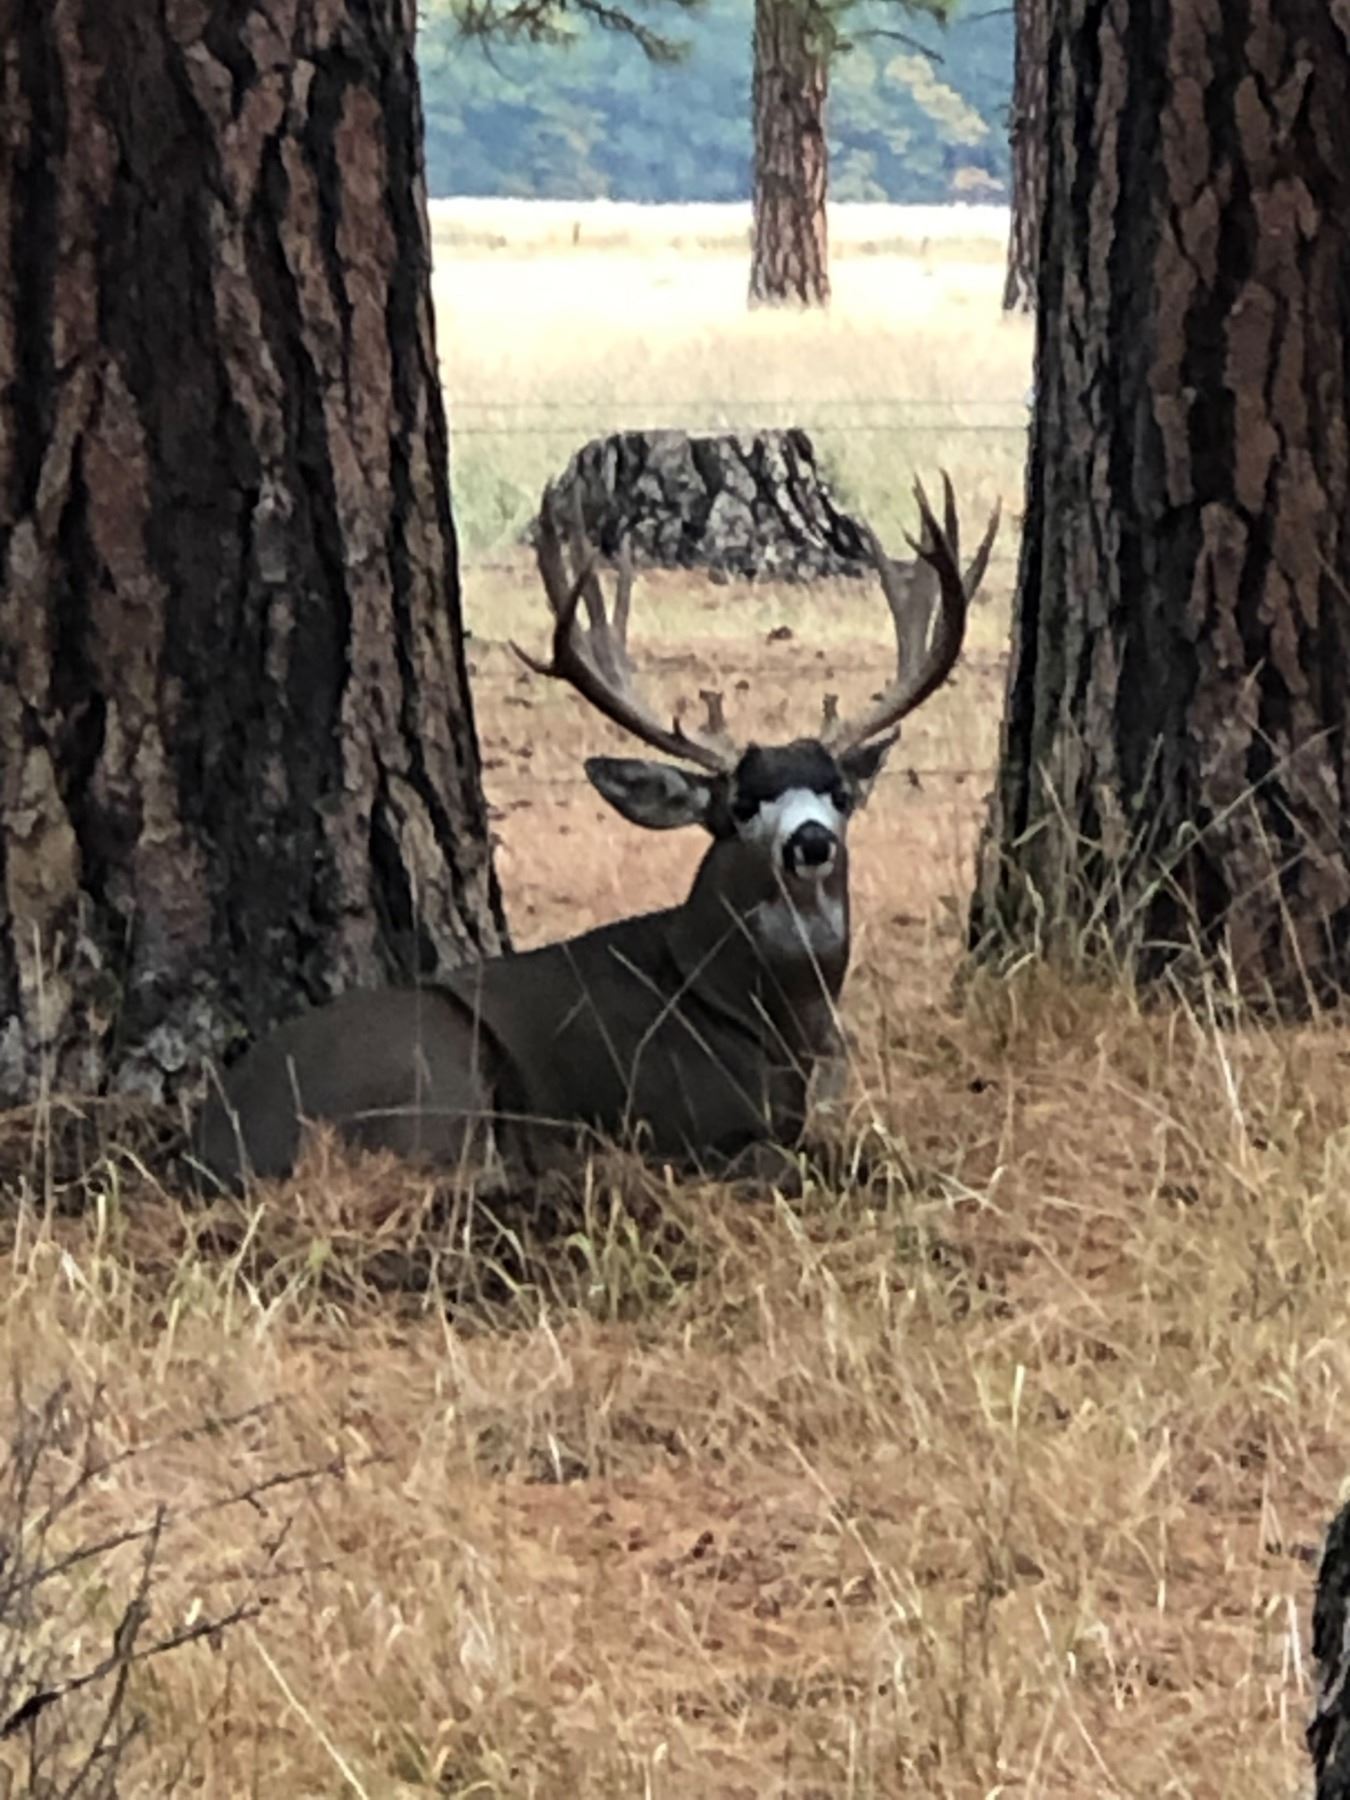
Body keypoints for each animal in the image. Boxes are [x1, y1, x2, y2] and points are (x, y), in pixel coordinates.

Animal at [193, 473, 999, 1193]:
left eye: (839, 794)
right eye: (742, 804)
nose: (810, 841)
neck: (763, 1015)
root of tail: (215, 1143)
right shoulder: (681, 1119)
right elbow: (784, 1159)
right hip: (429, 1069)